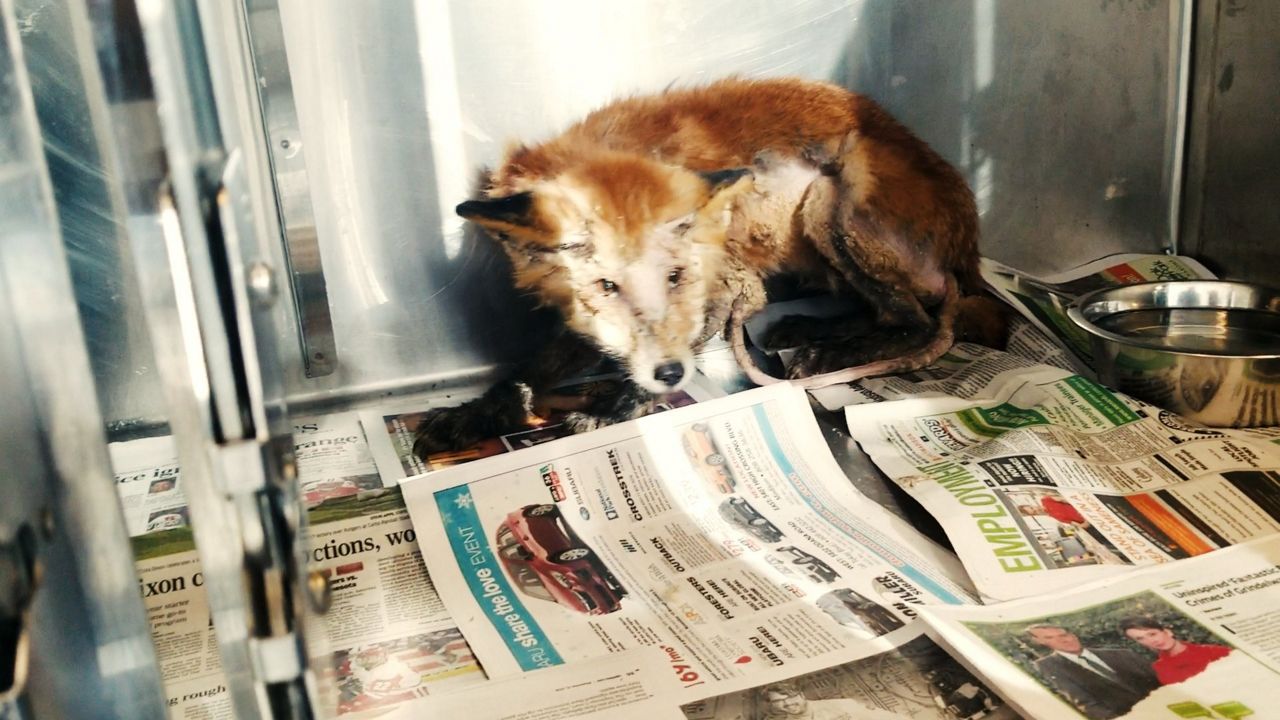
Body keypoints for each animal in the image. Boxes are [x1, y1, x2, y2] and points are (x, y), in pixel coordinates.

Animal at [412, 77, 1006, 457]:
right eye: (606, 287)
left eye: (676, 279)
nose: (672, 377)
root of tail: (970, 248)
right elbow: (525, 372)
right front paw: (474, 415)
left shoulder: (717, 289)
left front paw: (613, 410)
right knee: (884, 314)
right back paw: (812, 331)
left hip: (826, 204)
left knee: (914, 322)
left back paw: (830, 350)